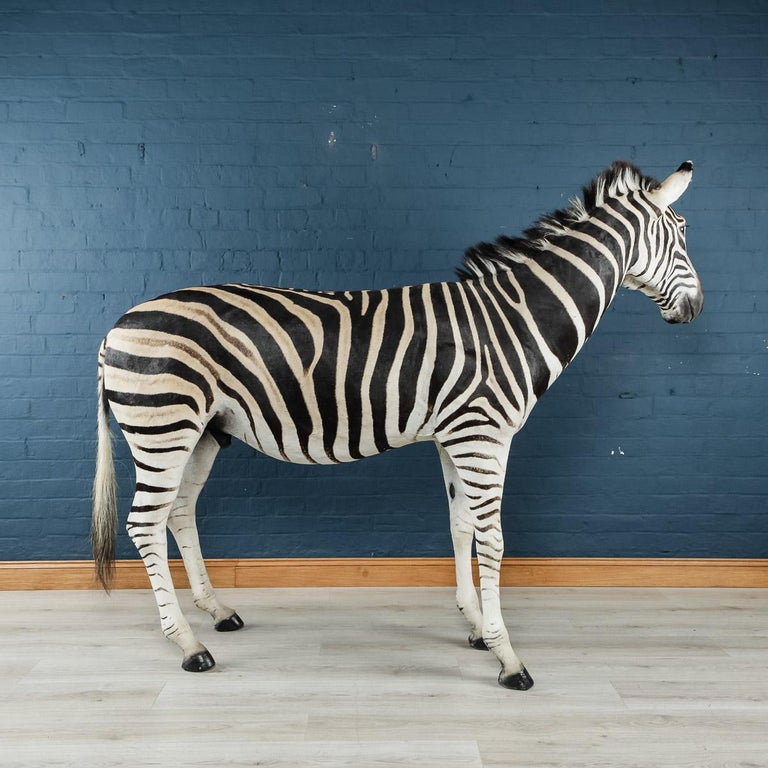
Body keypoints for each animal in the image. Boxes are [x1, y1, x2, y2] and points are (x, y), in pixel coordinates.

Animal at [92, 160, 702, 690]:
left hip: (202, 432)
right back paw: (188, 645)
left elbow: (461, 527)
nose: (695, 309)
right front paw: (508, 657)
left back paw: (216, 612)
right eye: (682, 231)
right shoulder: (483, 435)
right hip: (164, 426)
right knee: (144, 523)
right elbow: (494, 538)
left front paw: (476, 626)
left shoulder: (454, 437)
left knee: (178, 512)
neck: (513, 321)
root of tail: (116, 326)